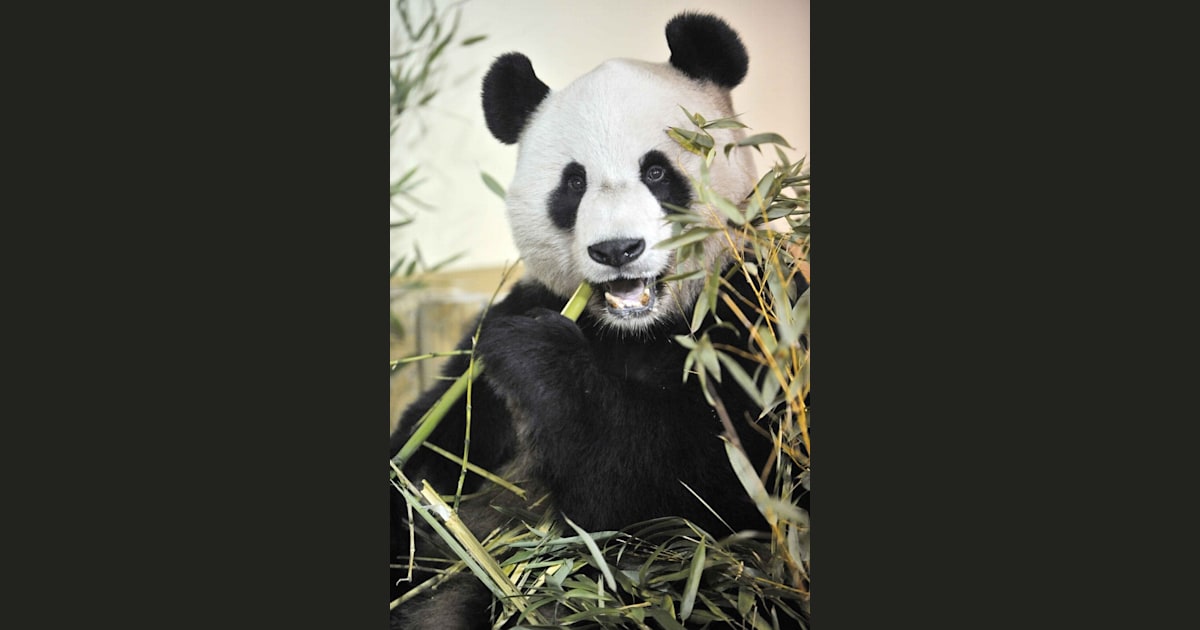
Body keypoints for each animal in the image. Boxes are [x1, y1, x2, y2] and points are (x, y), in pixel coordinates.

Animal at [390, 12, 808, 630]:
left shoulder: (755, 324)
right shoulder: (491, 352)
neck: (636, 331)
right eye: (574, 182)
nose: (617, 250)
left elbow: (707, 485)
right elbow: (429, 455)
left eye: (656, 171)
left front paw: (537, 357)